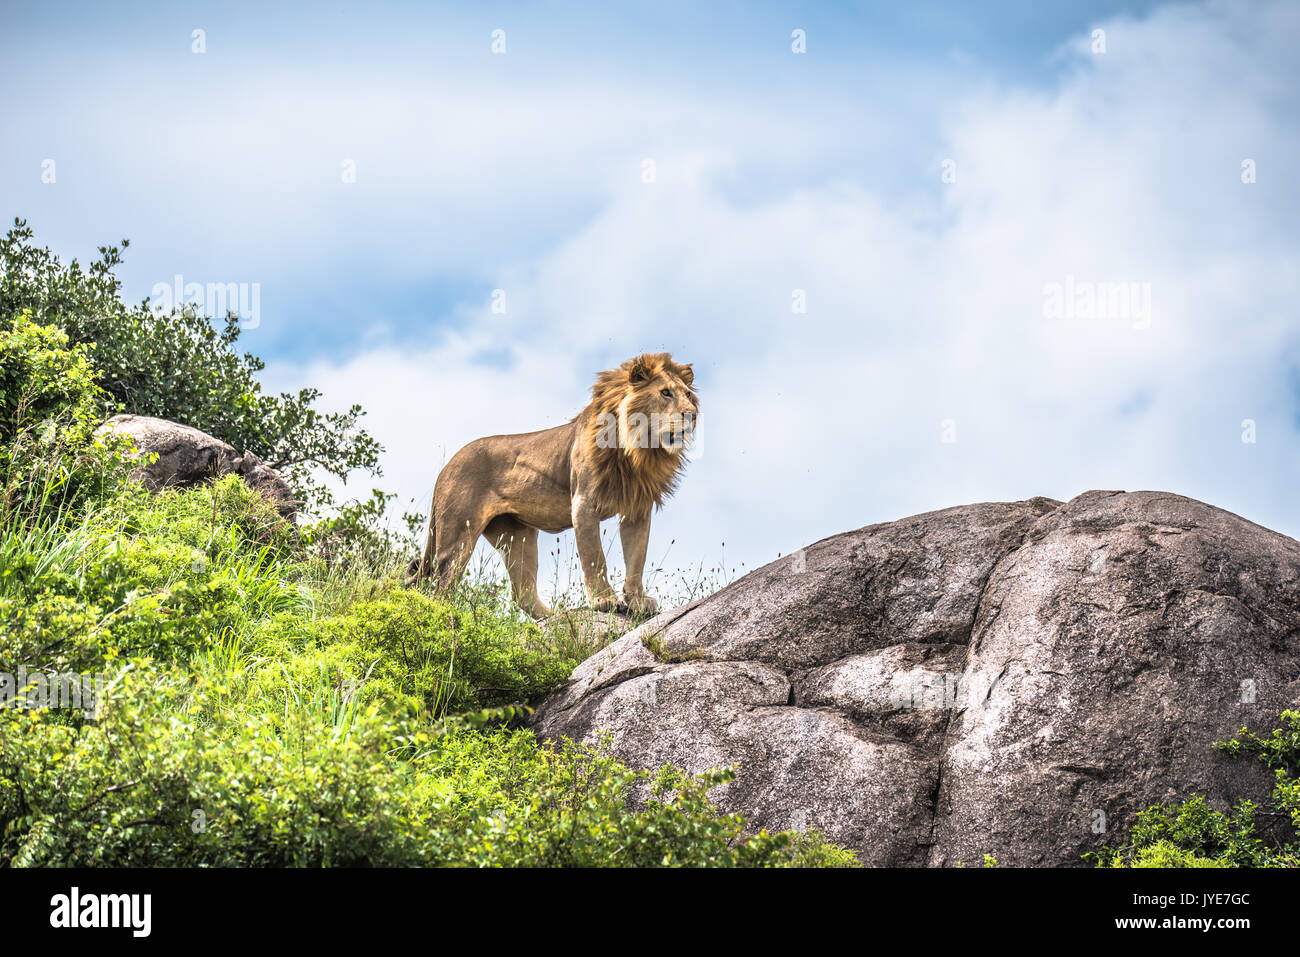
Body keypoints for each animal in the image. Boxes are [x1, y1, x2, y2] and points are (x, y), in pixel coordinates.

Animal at [406, 352, 698, 619]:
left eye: (688, 394)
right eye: (665, 393)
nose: (693, 415)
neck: (638, 449)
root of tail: (446, 467)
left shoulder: (637, 509)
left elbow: (636, 558)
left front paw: (637, 601)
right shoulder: (583, 503)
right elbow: (595, 557)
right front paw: (604, 601)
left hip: (516, 534)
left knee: (521, 593)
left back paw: (555, 617)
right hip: (457, 535)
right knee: (442, 586)